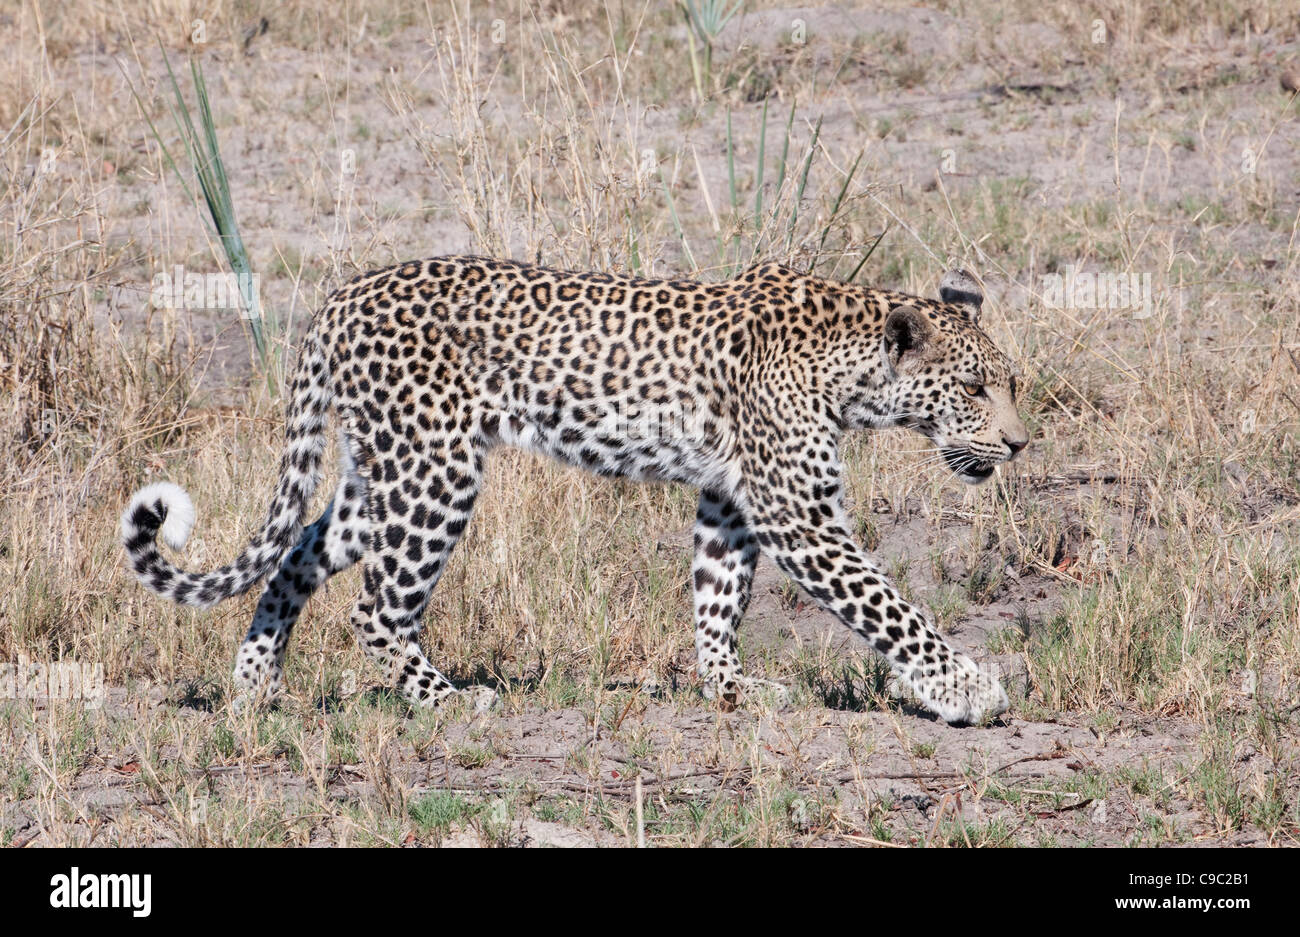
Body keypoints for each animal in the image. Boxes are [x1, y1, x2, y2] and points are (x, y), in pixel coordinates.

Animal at [121, 257, 1029, 724]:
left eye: (1011, 384)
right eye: (975, 389)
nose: (1020, 443)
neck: (853, 364)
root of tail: (341, 296)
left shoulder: (730, 499)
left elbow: (716, 598)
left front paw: (729, 688)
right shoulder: (796, 513)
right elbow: (890, 605)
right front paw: (964, 688)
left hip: (384, 471)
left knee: (298, 554)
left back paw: (256, 686)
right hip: (437, 469)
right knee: (374, 606)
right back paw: (449, 700)